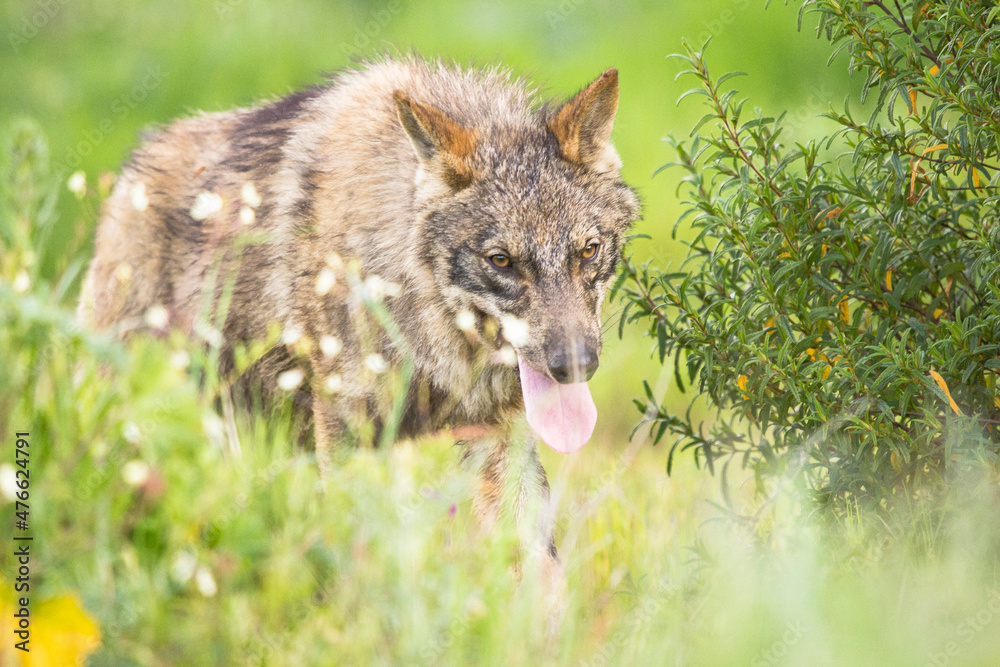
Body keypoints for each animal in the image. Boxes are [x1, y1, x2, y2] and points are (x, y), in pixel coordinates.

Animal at [79, 56, 640, 572]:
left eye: (587, 251)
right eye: (501, 261)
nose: (575, 364)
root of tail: (124, 183)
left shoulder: (504, 434)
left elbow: (540, 570)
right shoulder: (346, 430)